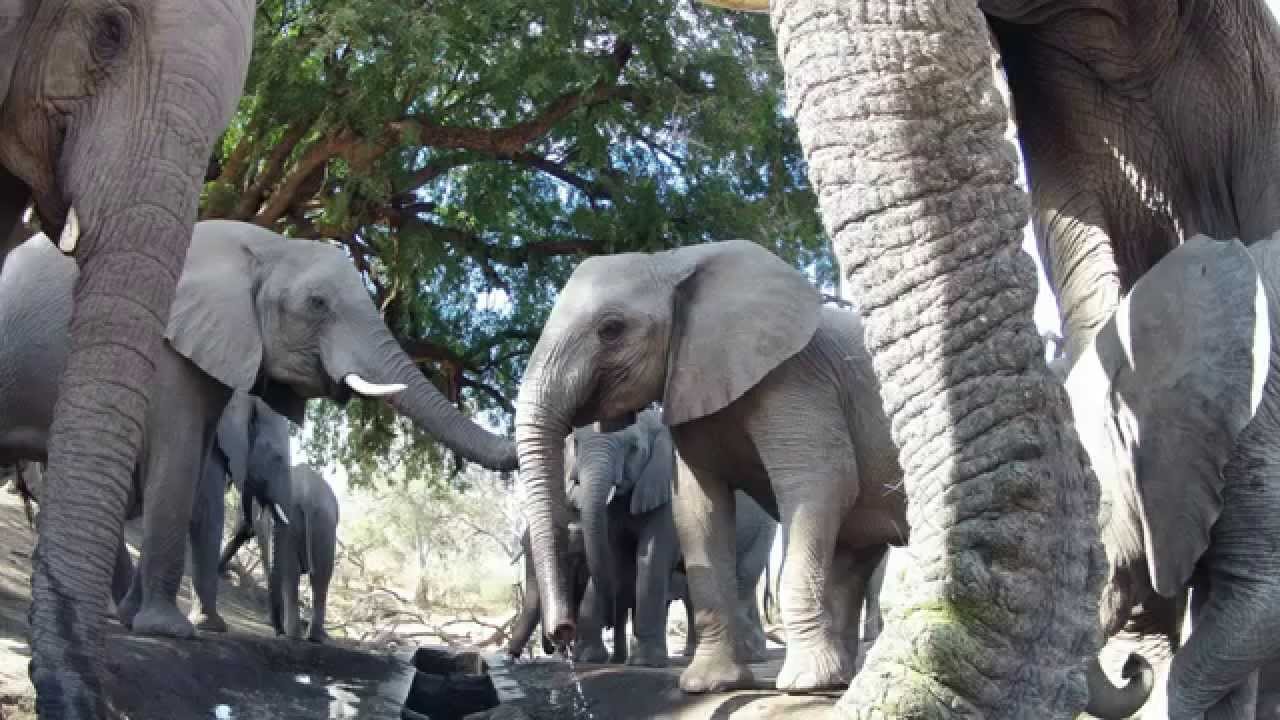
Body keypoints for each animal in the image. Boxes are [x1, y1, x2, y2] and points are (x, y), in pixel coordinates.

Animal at [0, 220, 516, 642]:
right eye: (317, 303)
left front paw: (139, 619)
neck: (267, 248)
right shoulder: (168, 344)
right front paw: (170, 630)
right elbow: (180, 460)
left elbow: (191, 464)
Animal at [514, 239, 908, 694]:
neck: (676, 261)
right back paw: (843, 677)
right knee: (856, 551)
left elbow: (823, 484)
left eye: (611, 329)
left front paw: (806, 684)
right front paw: (708, 685)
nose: (560, 634)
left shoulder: (797, 378)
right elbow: (699, 509)